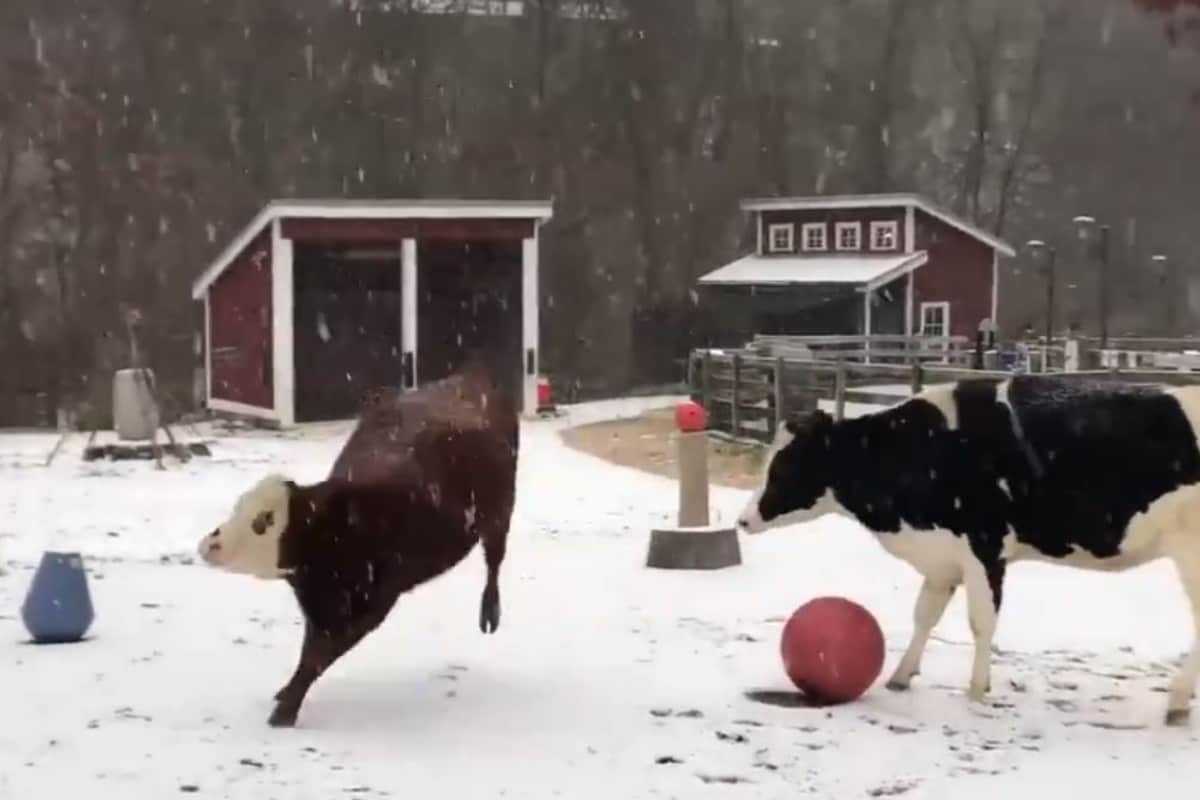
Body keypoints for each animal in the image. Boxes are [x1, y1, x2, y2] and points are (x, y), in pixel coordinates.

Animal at [196, 360, 519, 727]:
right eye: (238, 507)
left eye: (263, 521)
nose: (209, 545)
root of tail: (469, 375)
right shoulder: (321, 603)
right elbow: (310, 651)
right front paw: (285, 693)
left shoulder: (372, 604)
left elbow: (318, 657)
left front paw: (285, 710)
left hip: (500, 514)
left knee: (494, 560)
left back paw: (490, 612)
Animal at [737, 374, 1200, 725]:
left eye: (785, 466)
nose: (743, 520)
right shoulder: (943, 557)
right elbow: (925, 614)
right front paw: (902, 675)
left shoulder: (984, 546)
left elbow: (981, 622)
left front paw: (977, 690)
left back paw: (1177, 702)